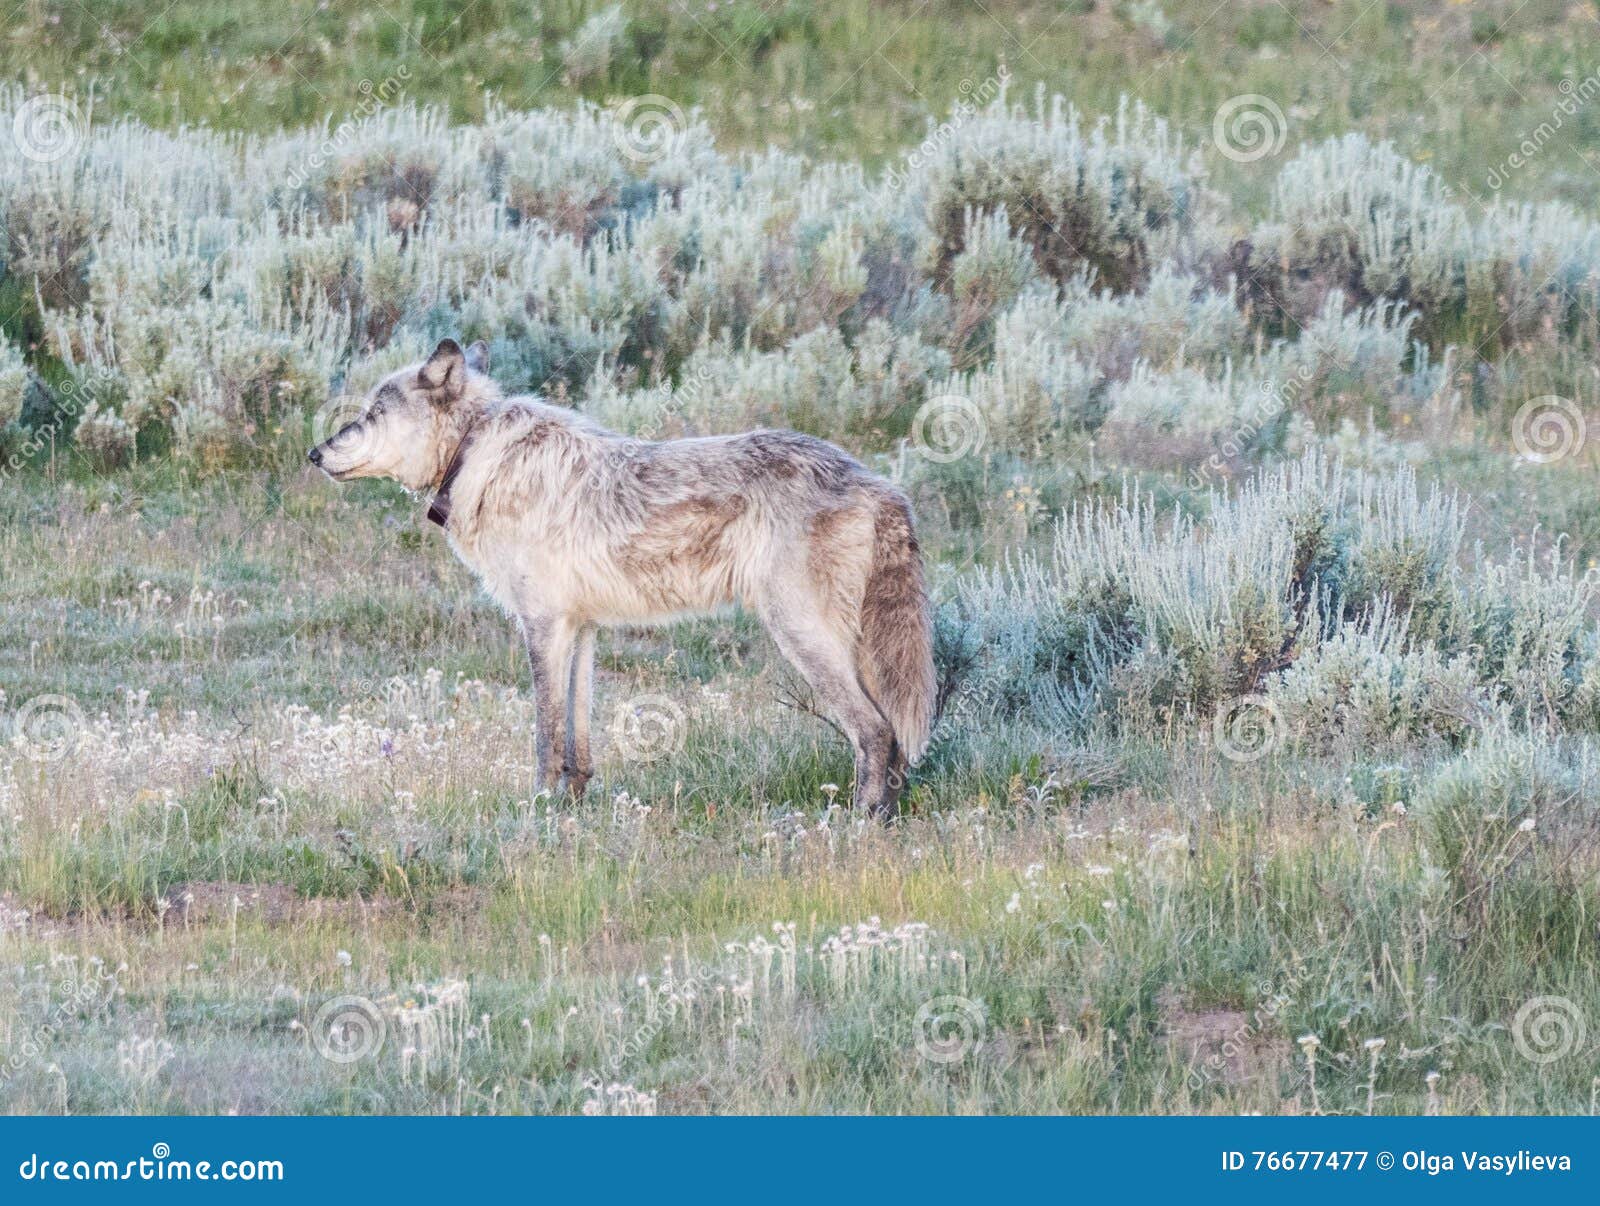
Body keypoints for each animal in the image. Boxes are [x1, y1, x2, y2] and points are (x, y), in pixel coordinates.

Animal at [309, 338, 934, 816]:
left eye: (371, 415)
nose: (314, 453)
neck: (475, 453)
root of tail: (882, 485)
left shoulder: (542, 626)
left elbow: (544, 737)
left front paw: (536, 812)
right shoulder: (581, 629)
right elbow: (577, 742)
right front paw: (573, 807)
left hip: (804, 638)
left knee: (876, 732)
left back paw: (853, 823)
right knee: (892, 738)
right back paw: (886, 817)